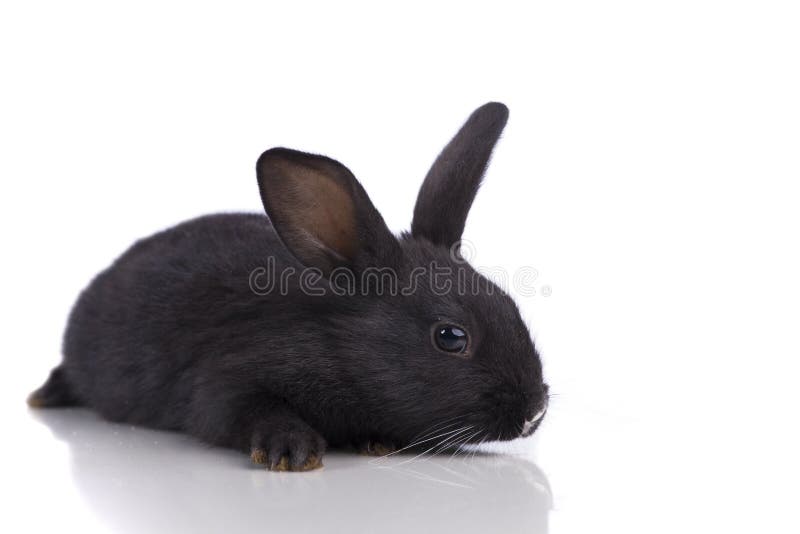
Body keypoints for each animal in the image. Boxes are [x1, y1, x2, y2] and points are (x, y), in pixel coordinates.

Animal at [28, 102, 549, 471]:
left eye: (511, 305)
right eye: (451, 337)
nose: (534, 412)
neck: (336, 345)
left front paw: (375, 442)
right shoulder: (224, 380)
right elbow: (243, 411)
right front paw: (292, 450)